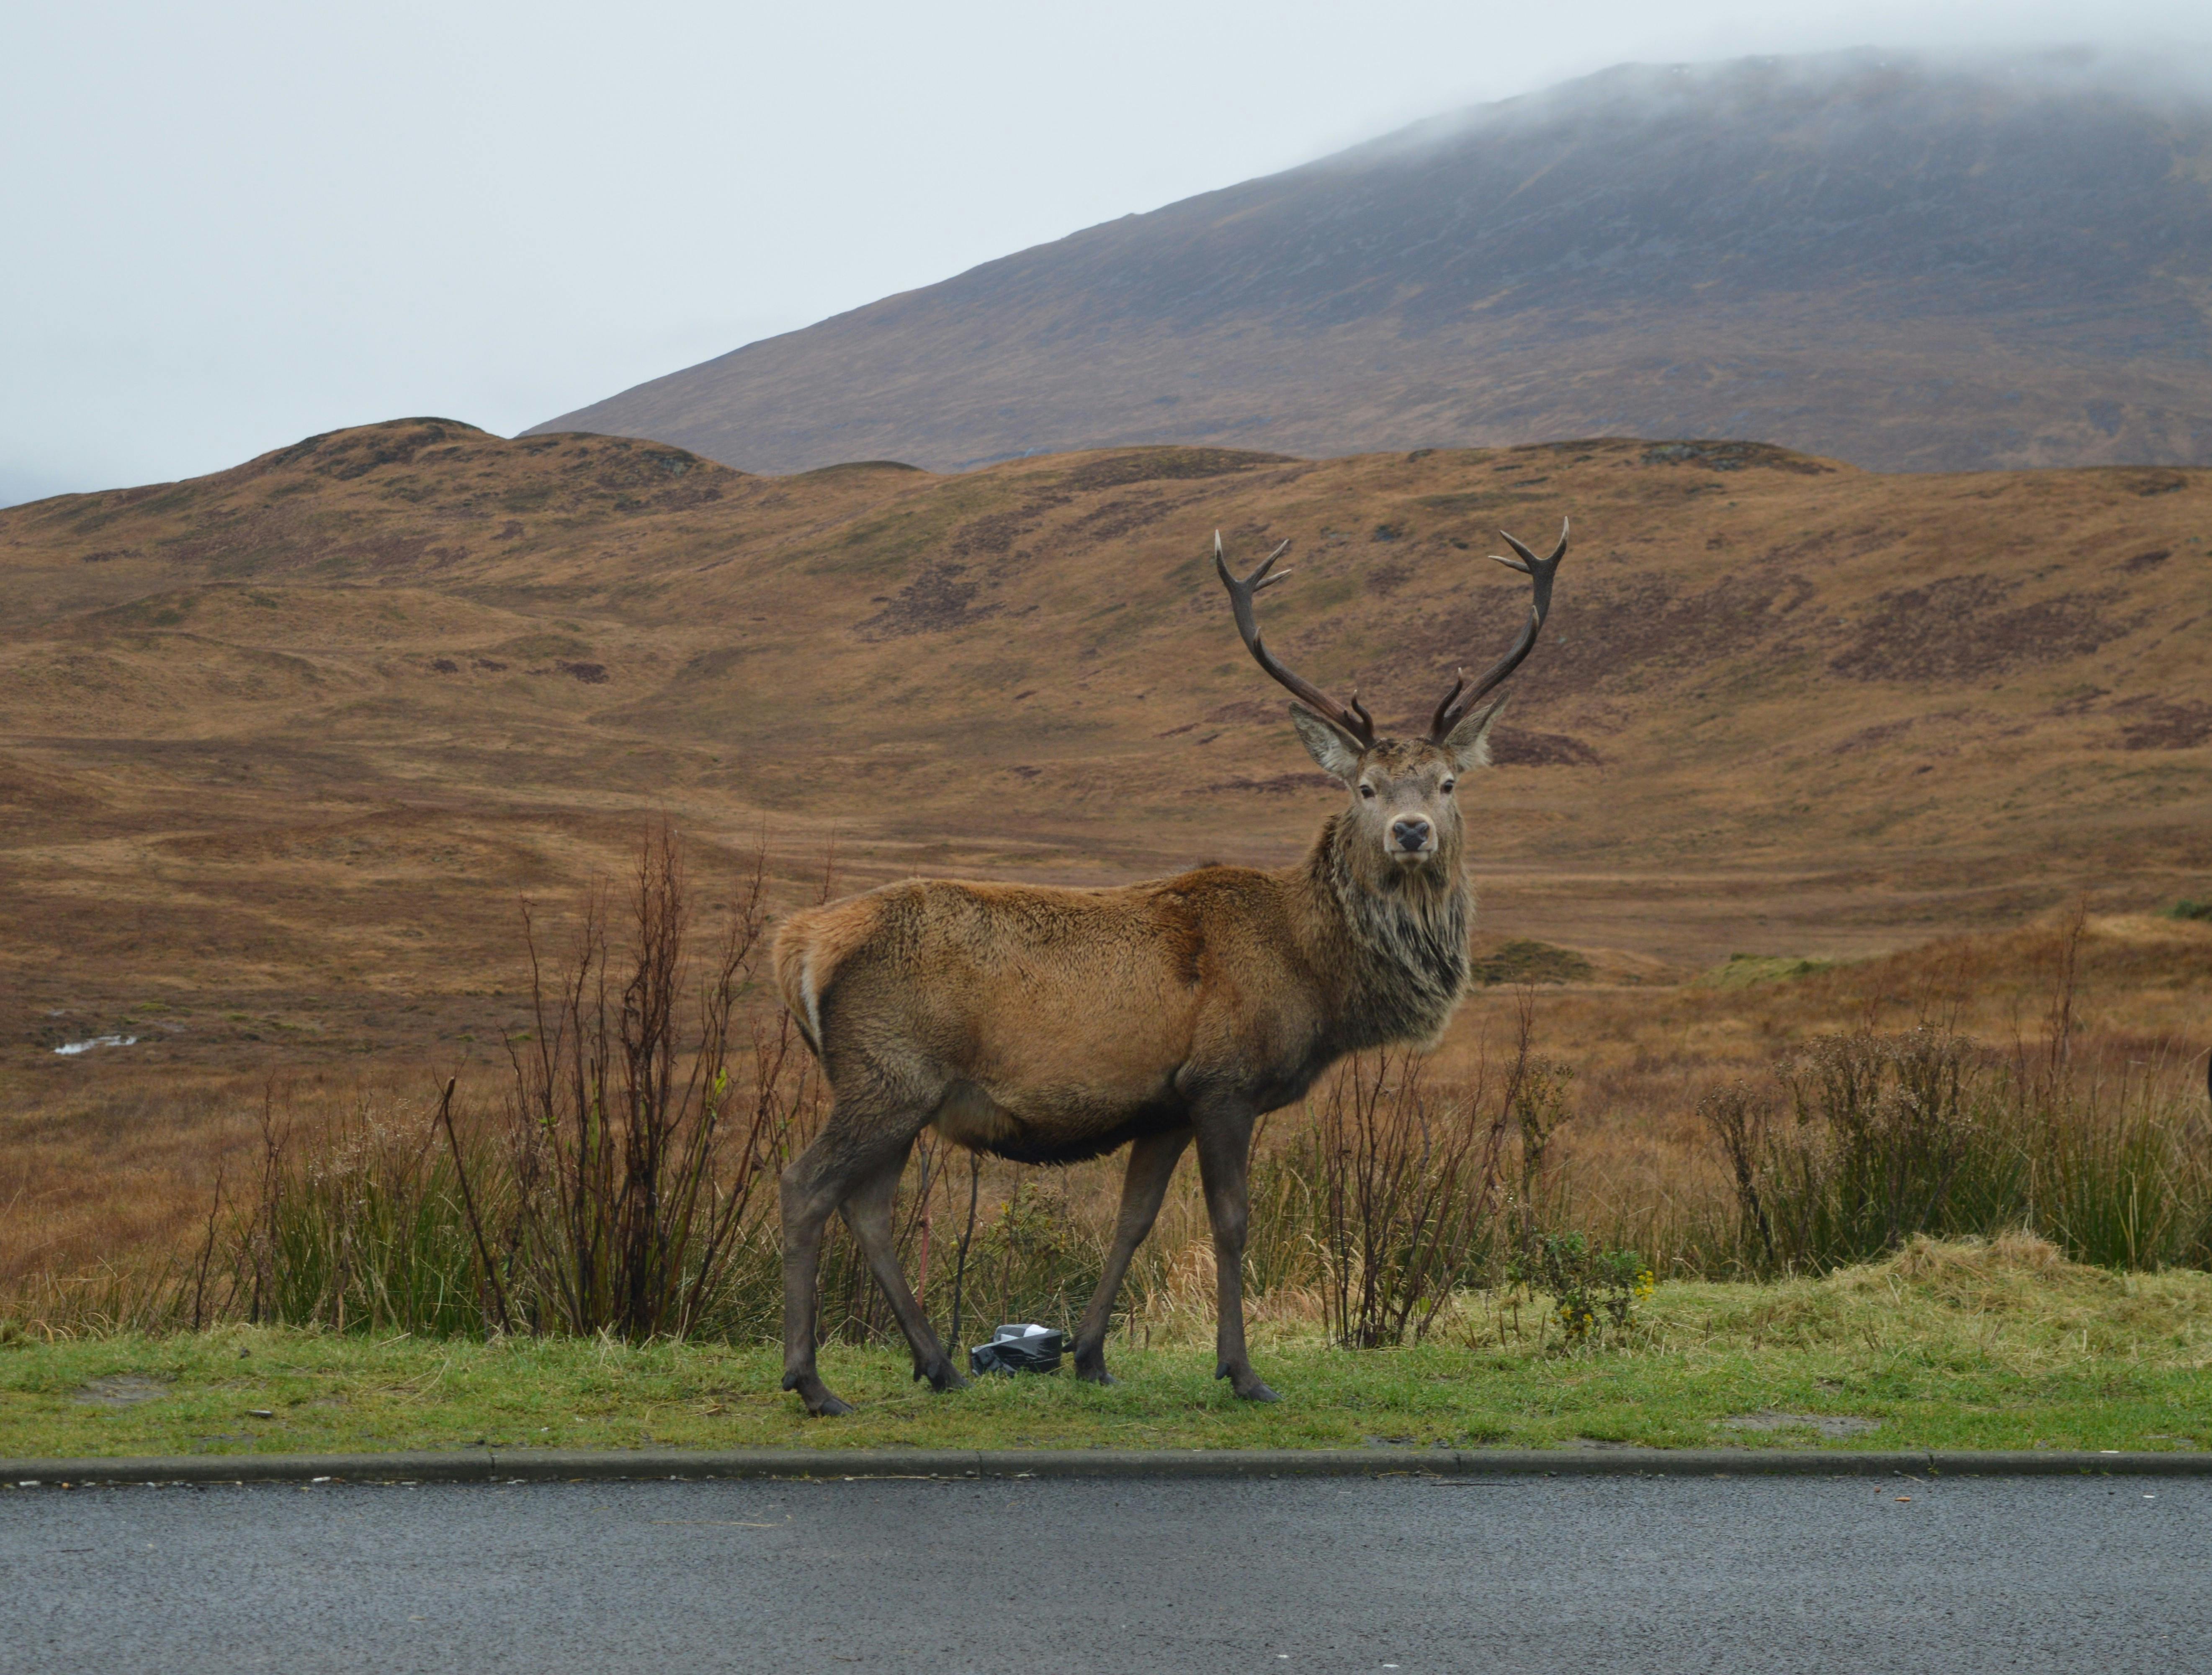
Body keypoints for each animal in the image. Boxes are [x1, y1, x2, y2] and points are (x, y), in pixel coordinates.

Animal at [770, 520, 1570, 1414]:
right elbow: (1231, 1221)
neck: (1315, 979)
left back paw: (938, 1364)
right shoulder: (1223, 1081)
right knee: (807, 1186)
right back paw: (811, 1381)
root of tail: (799, 942)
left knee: (868, 1206)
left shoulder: (1161, 1106)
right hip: (888, 1074)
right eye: (1364, 787)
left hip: (901, 1092)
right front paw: (1243, 1372)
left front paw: (1089, 1356)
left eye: (1447, 781)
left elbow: (1135, 1220)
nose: (1409, 832)